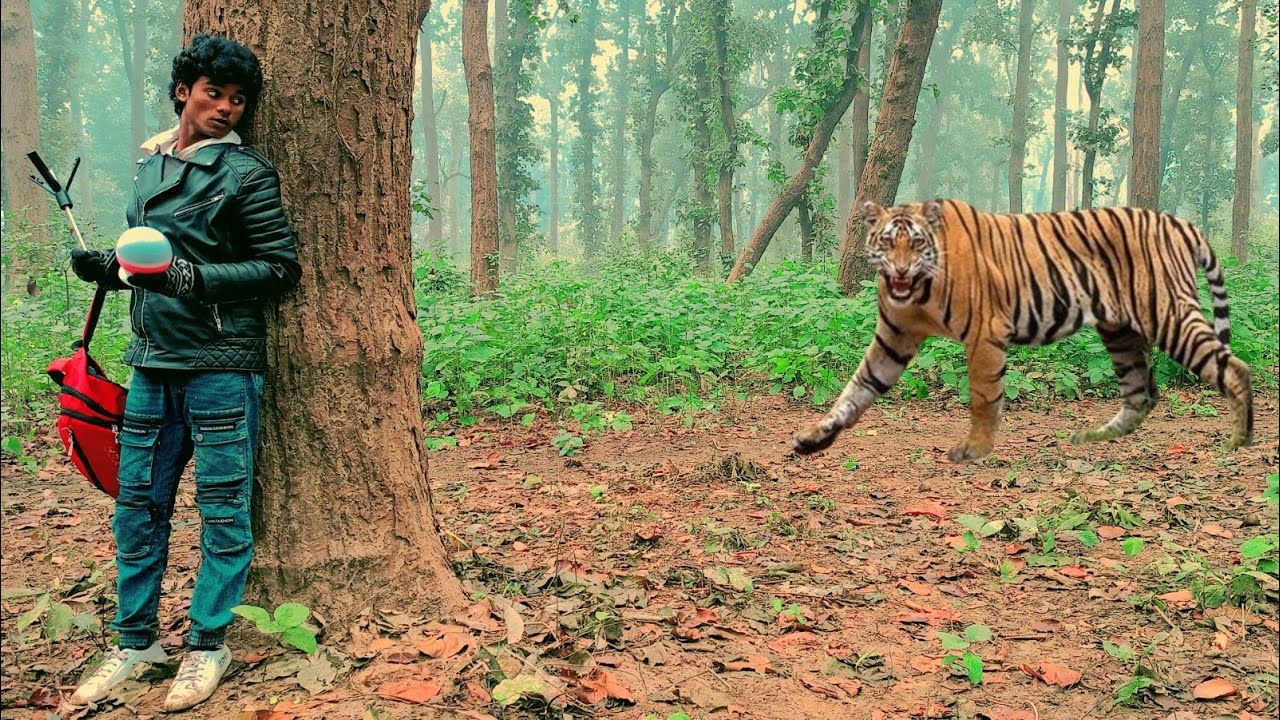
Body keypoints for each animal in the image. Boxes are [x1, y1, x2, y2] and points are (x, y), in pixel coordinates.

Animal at [794, 198, 1254, 462]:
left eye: (918, 244)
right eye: (888, 243)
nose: (902, 271)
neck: (918, 292)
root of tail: (1181, 224)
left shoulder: (984, 333)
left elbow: (983, 396)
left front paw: (974, 450)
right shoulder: (893, 339)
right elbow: (855, 392)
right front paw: (814, 438)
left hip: (1167, 312)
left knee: (1234, 367)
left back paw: (1239, 440)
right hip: (1119, 329)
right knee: (1142, 393)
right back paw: (1091, 438)